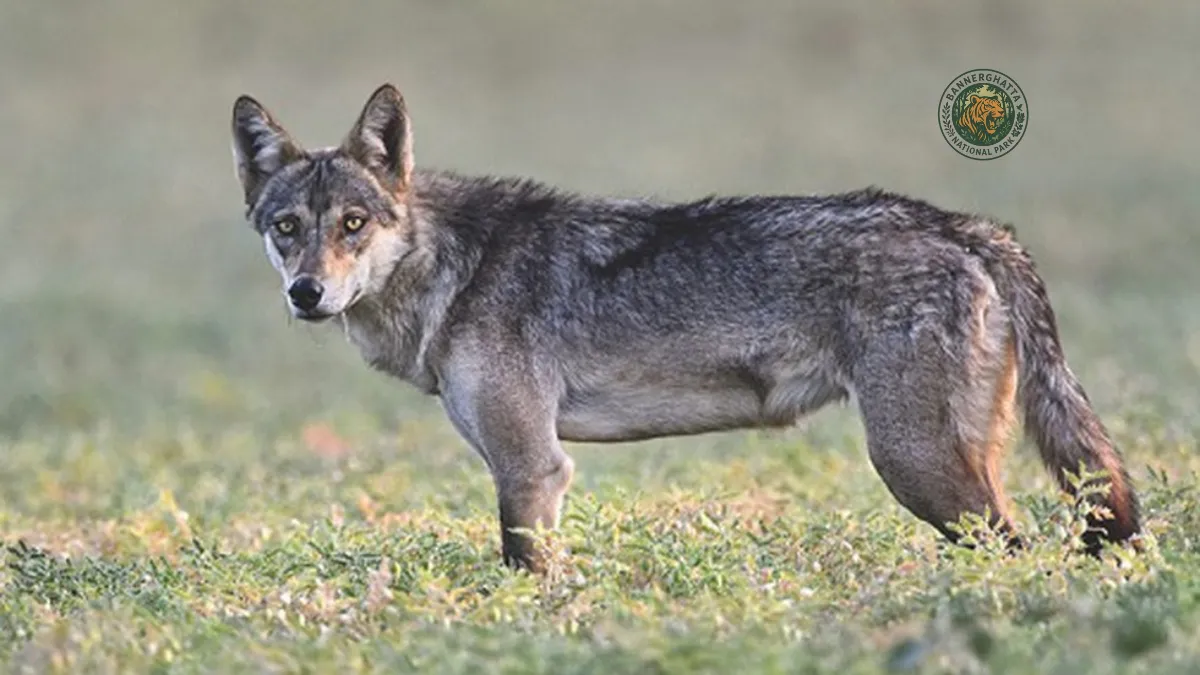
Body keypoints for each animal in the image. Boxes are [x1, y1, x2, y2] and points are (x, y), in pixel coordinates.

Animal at [230, 83, 1140, 571]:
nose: (308, 293)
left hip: (919, 470)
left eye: (353, 224)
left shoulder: (532, 468)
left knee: (1021, 556)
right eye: (287, 228)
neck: (457, 268)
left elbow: (525, 579)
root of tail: (965, 226)